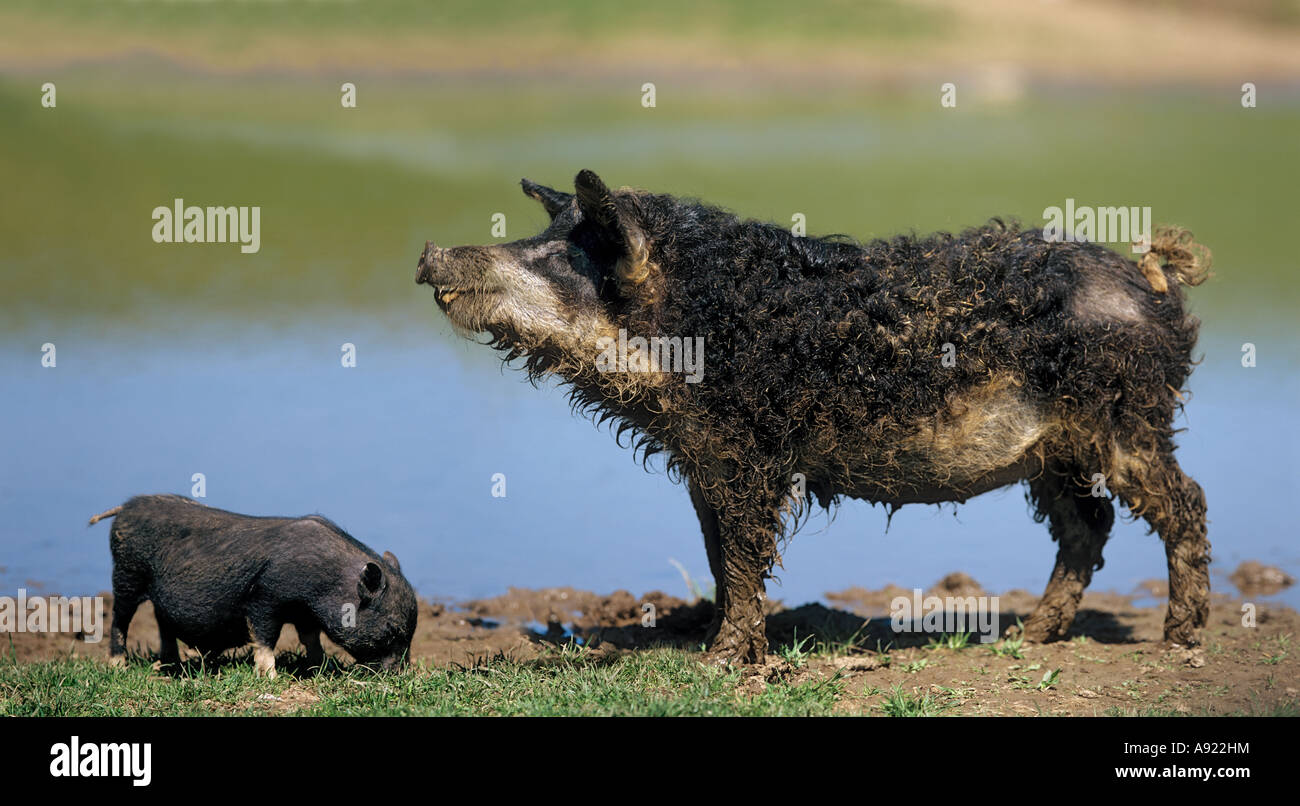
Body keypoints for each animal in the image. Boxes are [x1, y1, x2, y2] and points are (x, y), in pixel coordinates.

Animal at [90, 495, 417, 676]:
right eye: (391, 629)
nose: (401, 674)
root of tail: (126, 507)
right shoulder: (264, 598)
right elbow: (265, 637)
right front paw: (271, 677)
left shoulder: (305, 613)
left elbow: (311, 639)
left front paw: (322, 668)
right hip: (126, 575)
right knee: (119, 619)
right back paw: (119, 666)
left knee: (162, 623)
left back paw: (171, 666)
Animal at [415, 170, 1211, 662]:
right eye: (535, 238)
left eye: (559, 258)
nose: (429, 251)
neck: (695, 324)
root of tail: (1152, 282)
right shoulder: (703, 459)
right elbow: (715, 553)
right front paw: (710, 640)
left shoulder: (749, 451)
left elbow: (742, 553)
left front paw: (717, 663)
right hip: (1056, 451)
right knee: (1089, 526)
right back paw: (1023, 640)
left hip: (1127, 420)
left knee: (1185, 504)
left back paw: (1178, 641)